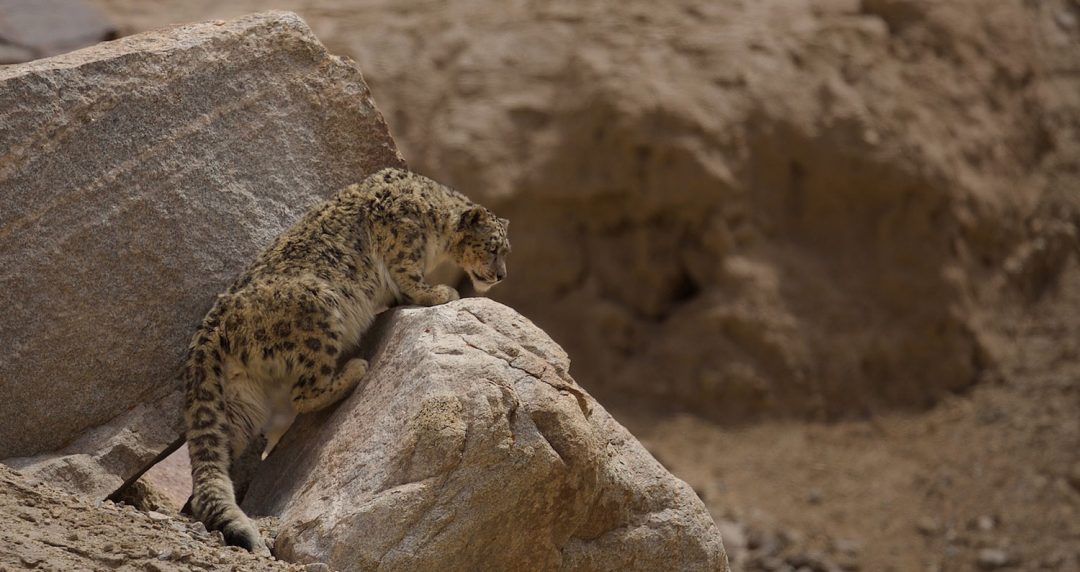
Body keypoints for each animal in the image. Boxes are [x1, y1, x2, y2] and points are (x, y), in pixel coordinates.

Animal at [182, 167, 510, 554]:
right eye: (493, 247)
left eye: (505, 250)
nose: (502, 275)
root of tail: (212, 322)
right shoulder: (401, 236)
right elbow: (409, 274)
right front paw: (439, 292)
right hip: (319, 309)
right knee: (303, 392)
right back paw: (355, 369)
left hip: (240, 397)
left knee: (221, 447)